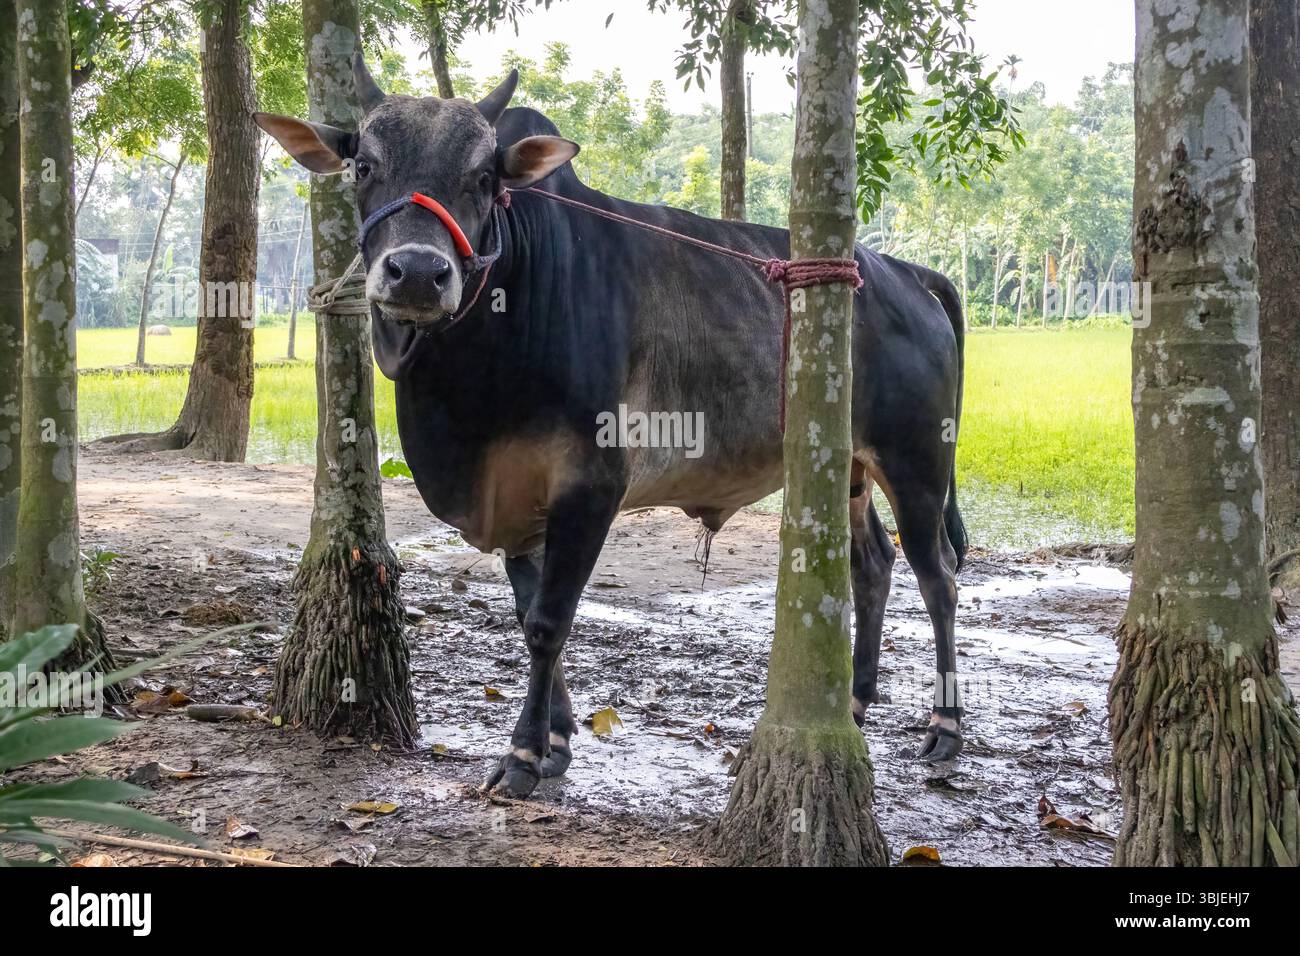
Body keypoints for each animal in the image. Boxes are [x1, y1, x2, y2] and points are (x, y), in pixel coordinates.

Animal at [255, 57, 968, 798]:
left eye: (485, 178)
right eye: (363, 165)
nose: (419, 273)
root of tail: (906, 272)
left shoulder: (589, 482)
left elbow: (549, 621)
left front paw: (525, 755)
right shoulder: (518, 494)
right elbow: (528, 611)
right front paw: (559, 739)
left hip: (918, 463)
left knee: (937, 576)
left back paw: (944, 728)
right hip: (847, 466)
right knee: (872, 566)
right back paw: (852, 704)